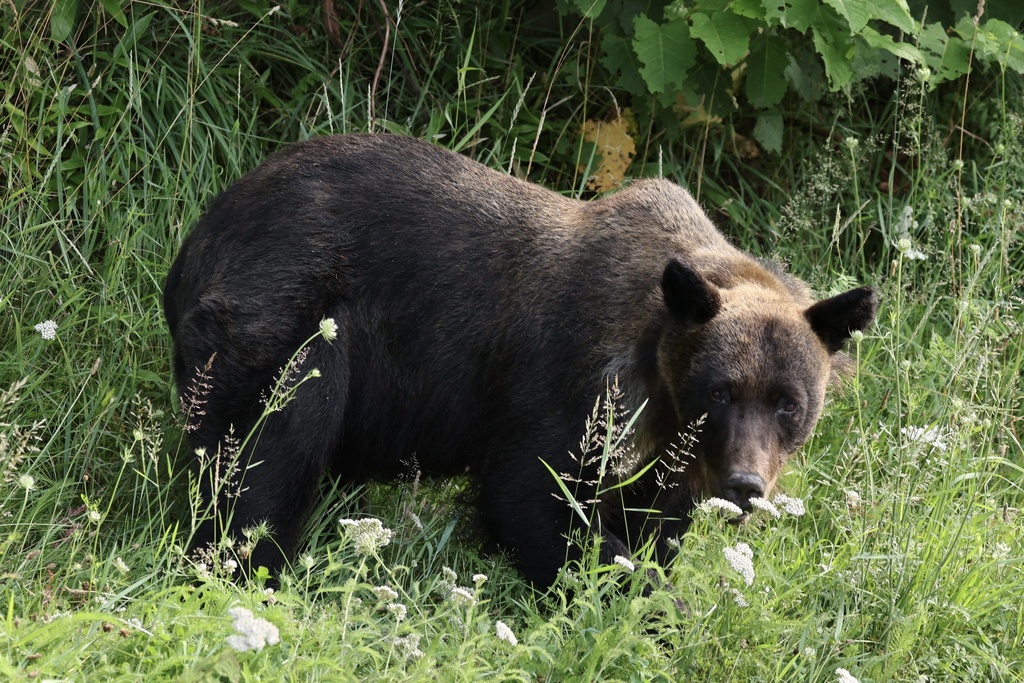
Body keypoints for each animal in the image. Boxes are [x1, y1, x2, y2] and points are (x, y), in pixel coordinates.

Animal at [163, 133, 877, 587]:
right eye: (722, 391)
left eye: (789, 404)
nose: (746, 485)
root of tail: (200, 232)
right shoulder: (565, 375)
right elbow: (534, 491)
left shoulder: (665, 450)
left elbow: (651, 516)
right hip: (281, 313)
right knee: (268, 444)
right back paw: (249, 567)